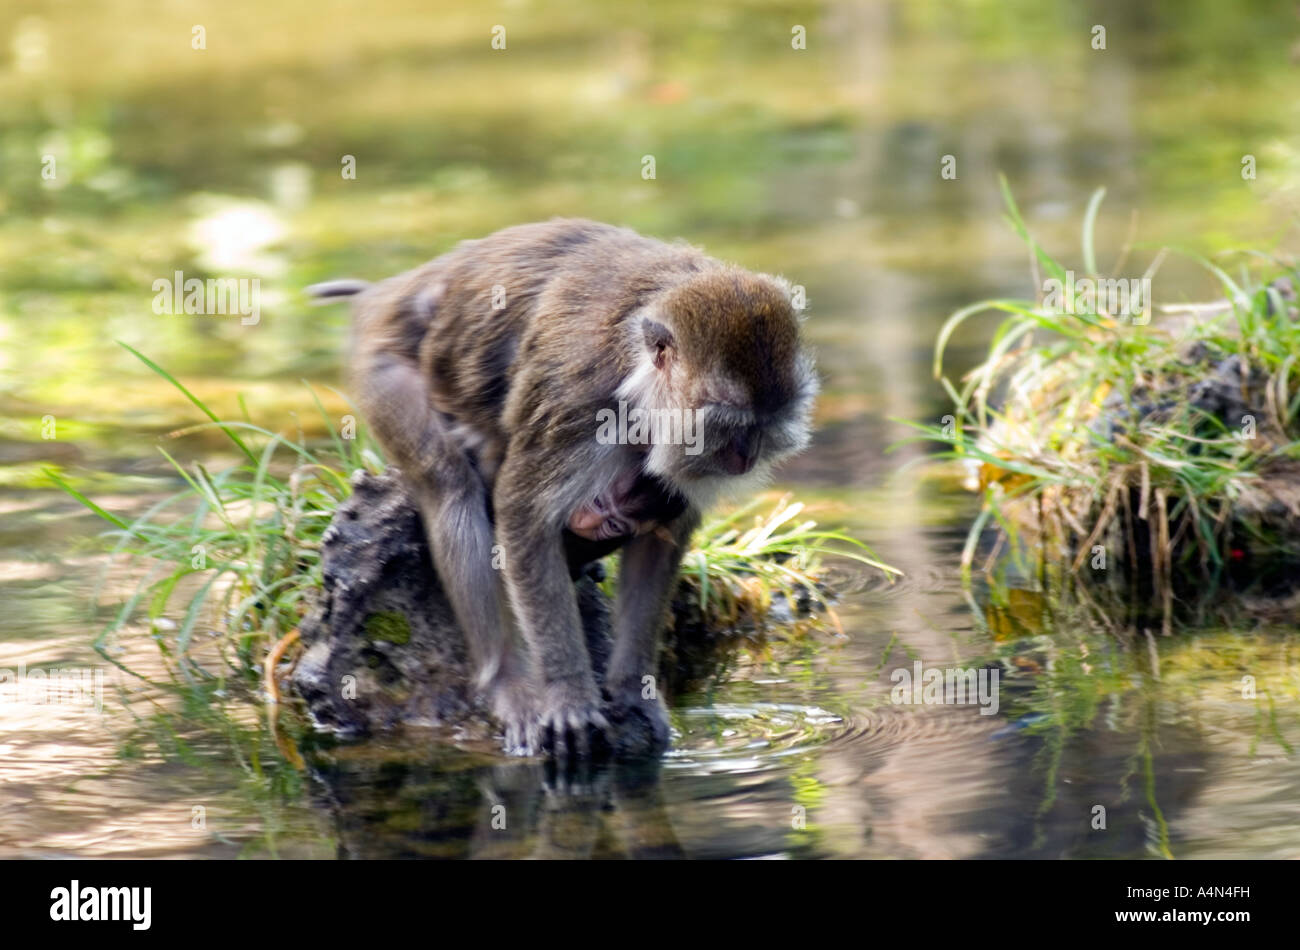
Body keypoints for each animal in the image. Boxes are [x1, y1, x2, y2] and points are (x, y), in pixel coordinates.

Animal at [309, 219, 817, 758]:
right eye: (729, 423)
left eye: (768, 424)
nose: (744, 458)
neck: (636, 372)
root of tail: (393, 289)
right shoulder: (578, 397)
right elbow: (523, 514)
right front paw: (567, 693)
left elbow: (661, 540)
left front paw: (633, 688)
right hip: (381, 363)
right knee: (449, 485)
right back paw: (507, 681)